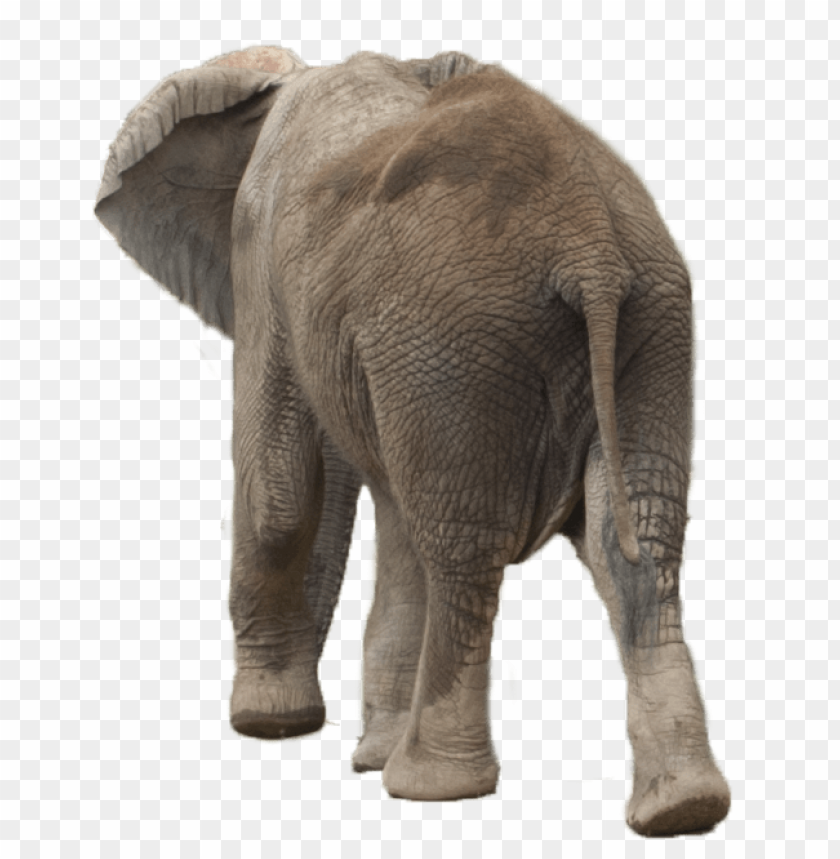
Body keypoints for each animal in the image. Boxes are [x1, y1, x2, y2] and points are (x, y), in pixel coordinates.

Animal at [95, 45, 730, 836]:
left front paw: (272, 724)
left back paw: (430, 785)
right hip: (642, 328)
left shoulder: (261, 248)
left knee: (463, 546)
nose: (310, 726)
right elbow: (390, 508)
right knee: (638, 539)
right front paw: (361, 751)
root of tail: (590, 244)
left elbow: (279, 491)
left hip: (459, 340)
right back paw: (682, 807)